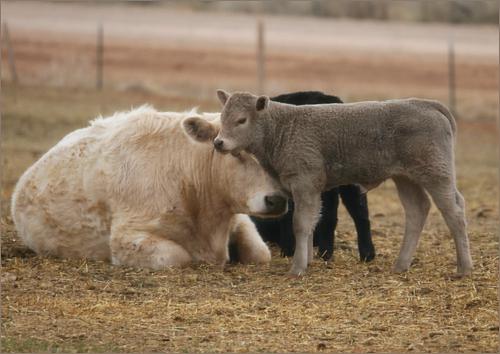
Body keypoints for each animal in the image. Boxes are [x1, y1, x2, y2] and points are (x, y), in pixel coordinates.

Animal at [10, 106, 290, 270]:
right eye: (235, 152)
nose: (277, 199)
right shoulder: (127, 237)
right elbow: (177, 257)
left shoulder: (239, 218)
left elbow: (260, 252)